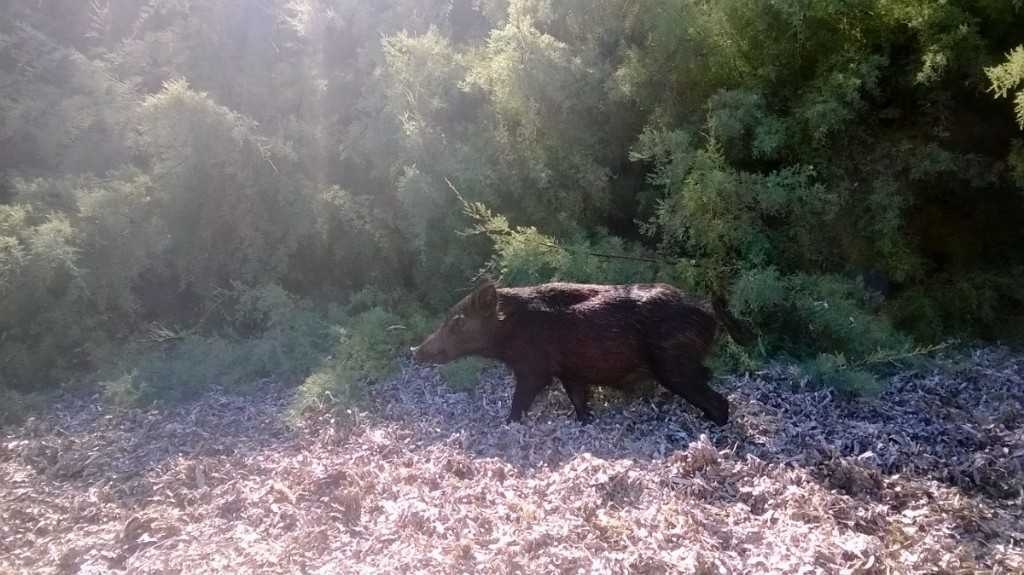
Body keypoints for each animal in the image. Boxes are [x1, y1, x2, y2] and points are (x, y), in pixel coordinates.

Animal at [411, 281, 751, 426]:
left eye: (457, 322)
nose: (415, 351)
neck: (509, 329)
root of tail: (708, 311)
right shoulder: (572, 371)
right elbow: (577, 397)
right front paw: (585, 421)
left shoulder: (534, 368)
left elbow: (521, 398)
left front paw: (508, 423)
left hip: (673, 363)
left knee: (719, 400)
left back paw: (712, 426)